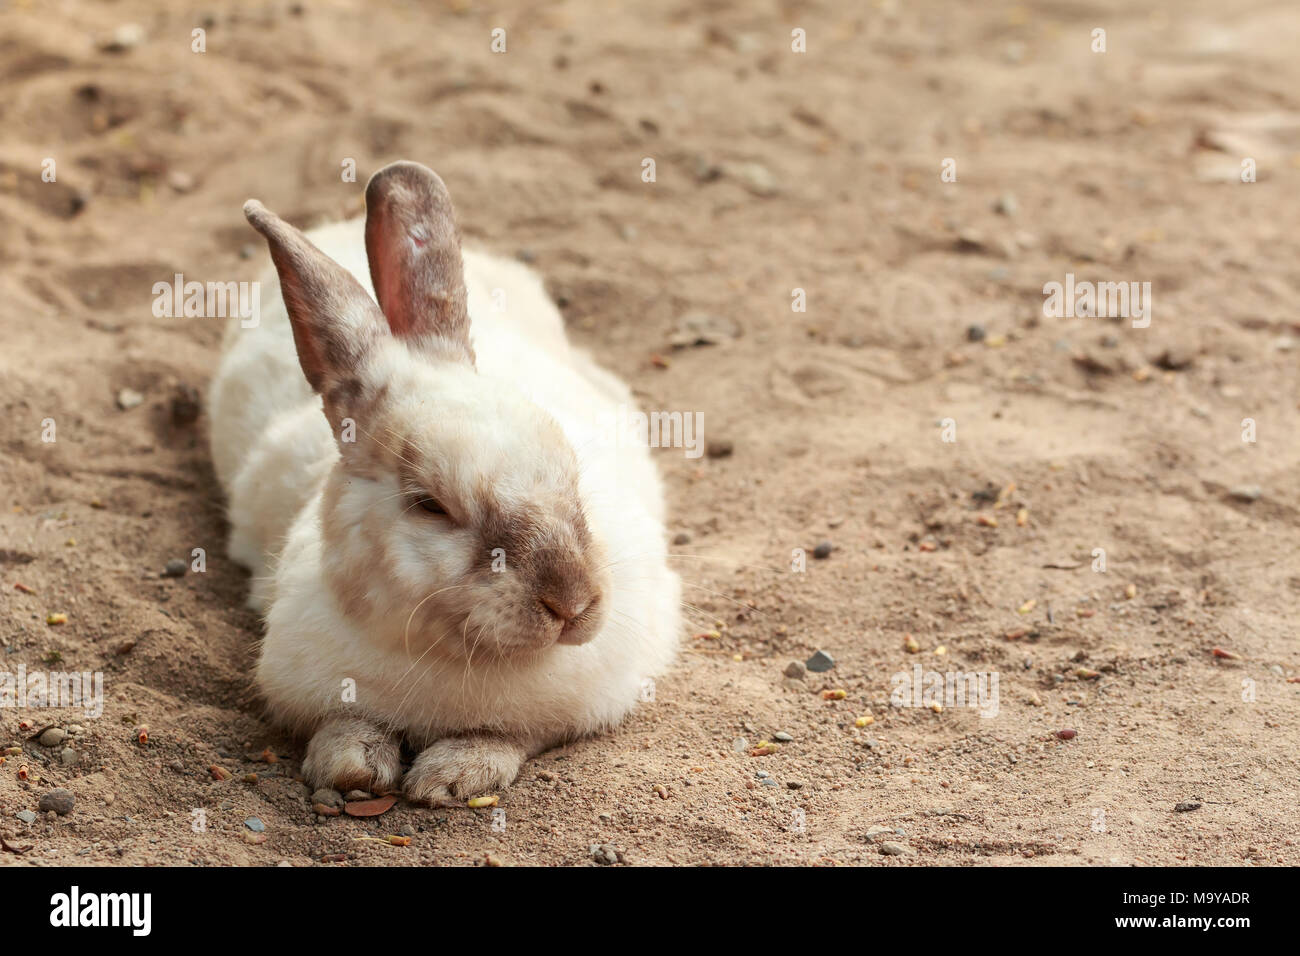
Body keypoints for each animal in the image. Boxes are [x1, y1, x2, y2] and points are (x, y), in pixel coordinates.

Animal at [208, 161, 681, 803]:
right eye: (431, 505)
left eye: (571, 471)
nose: (573, 602)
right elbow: (343, 723)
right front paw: (352, 769)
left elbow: (507, 736)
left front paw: (451, 777)